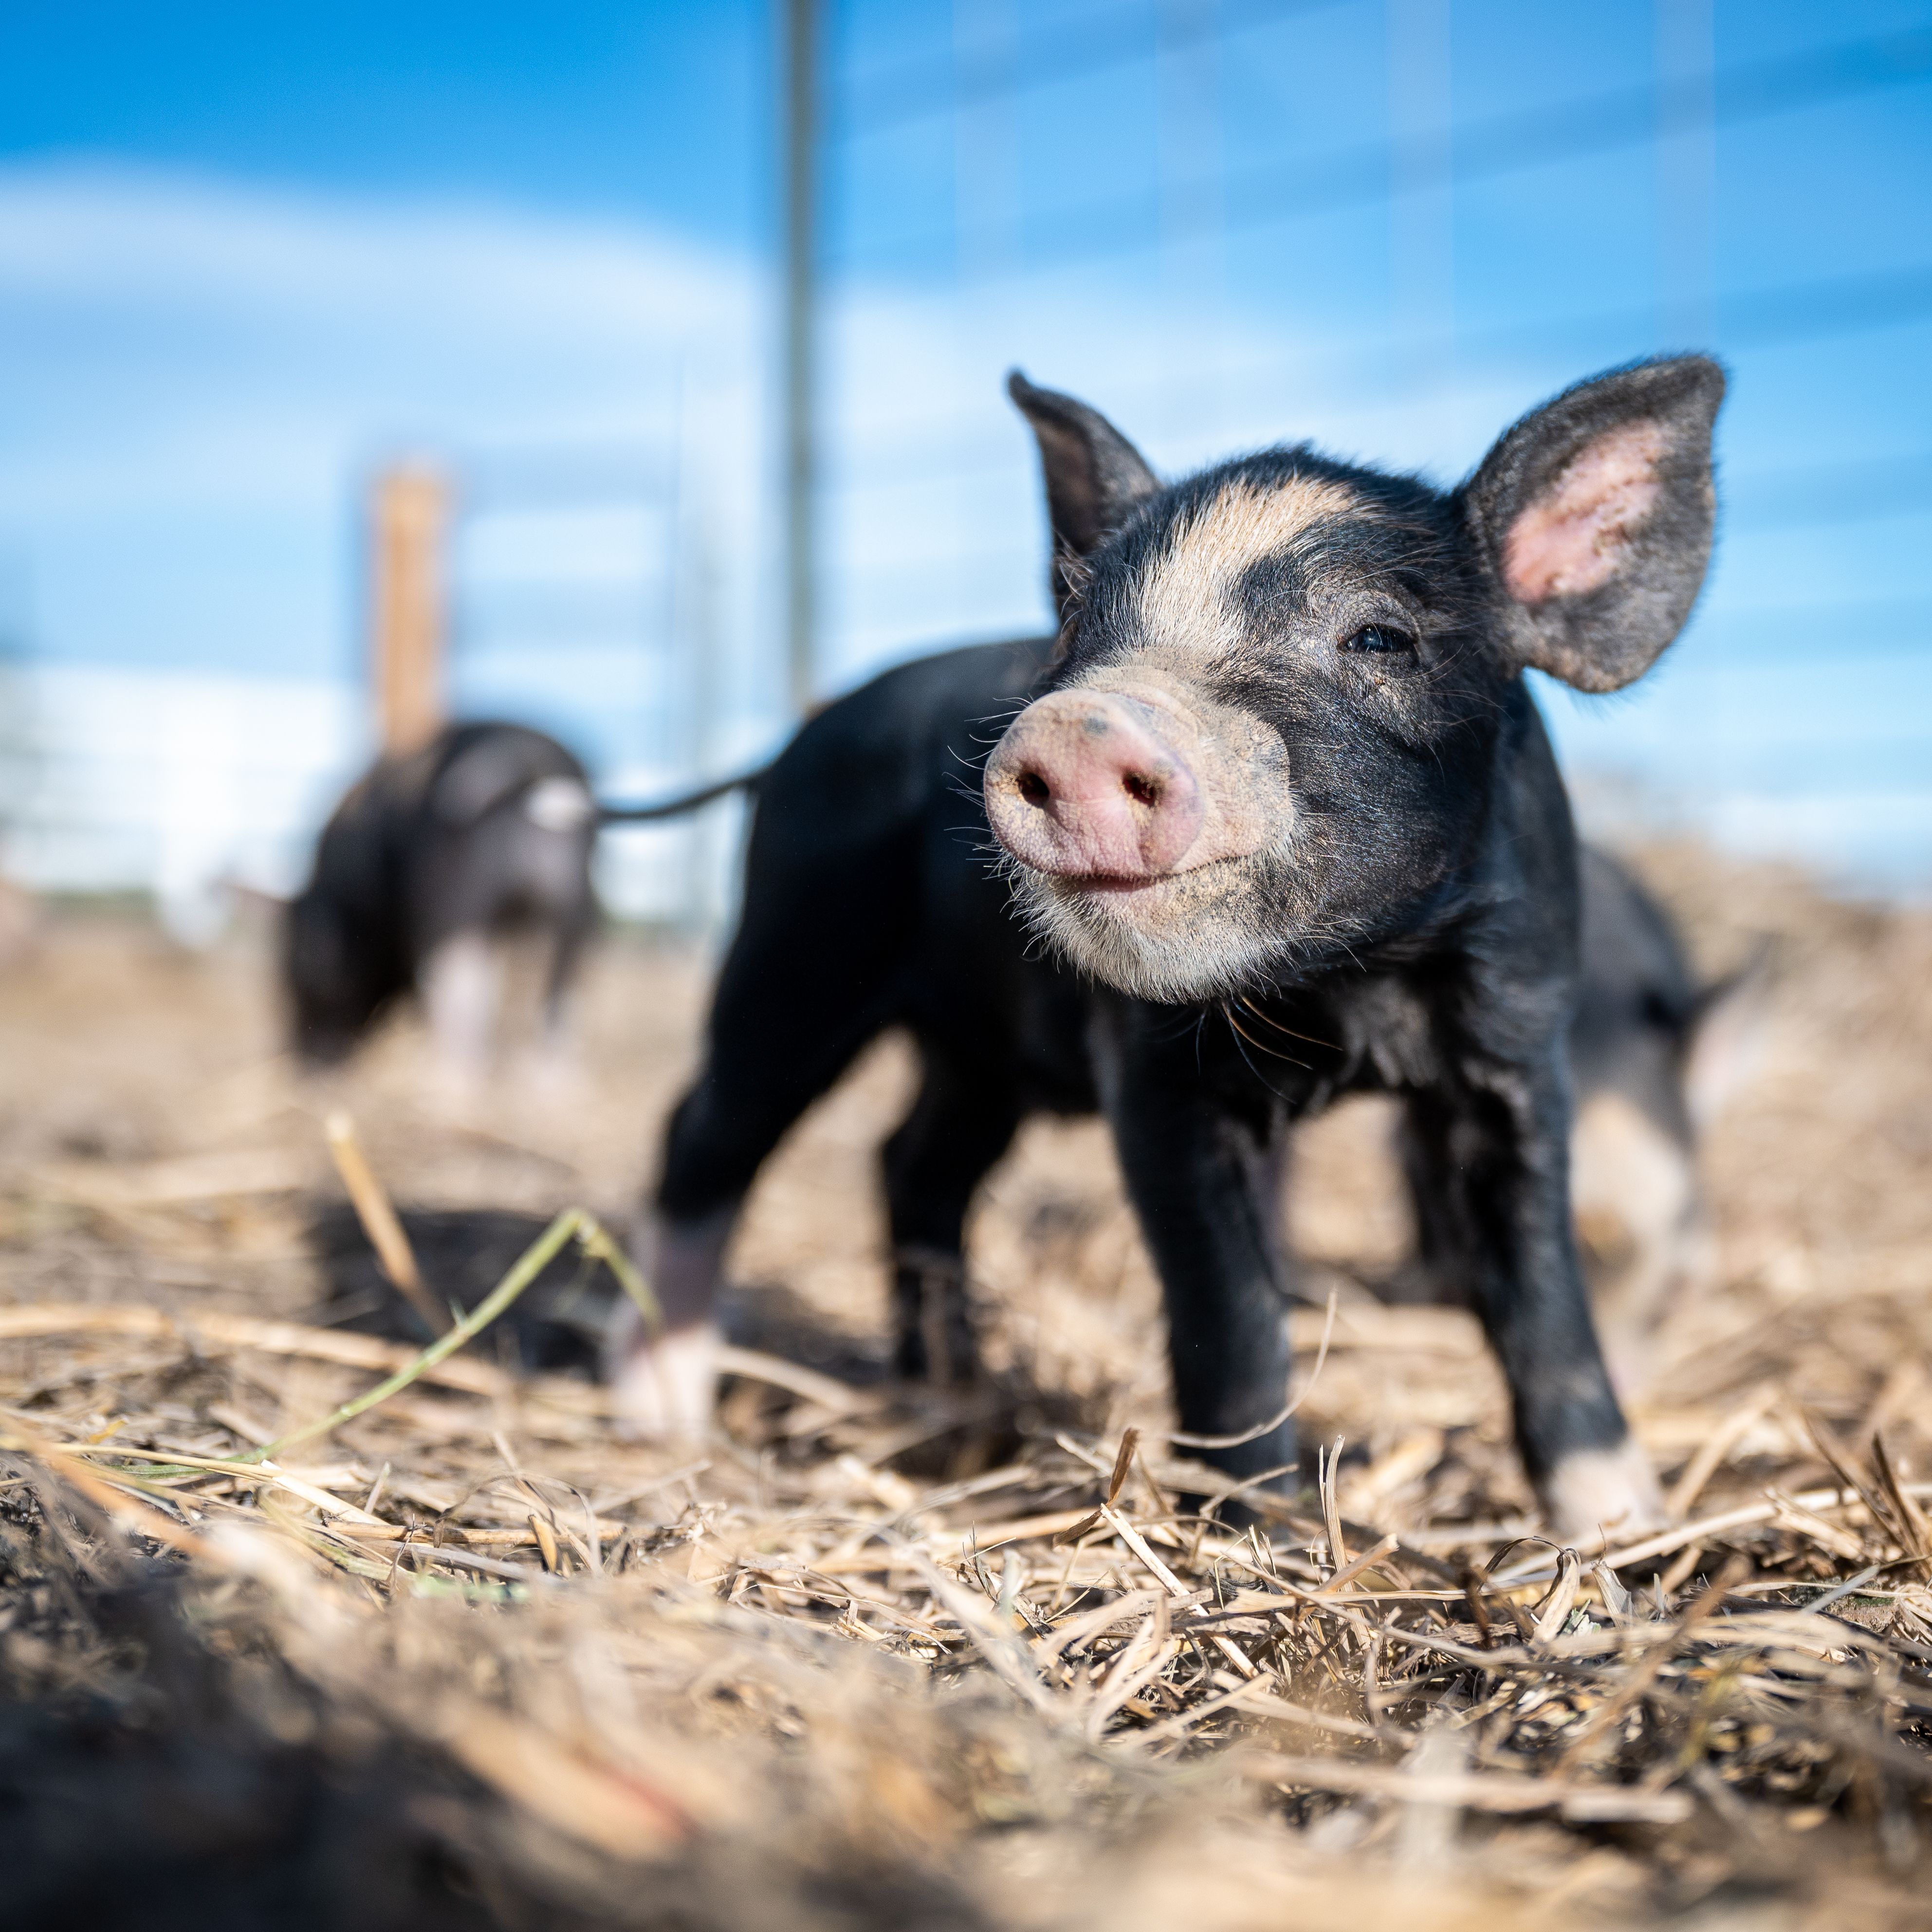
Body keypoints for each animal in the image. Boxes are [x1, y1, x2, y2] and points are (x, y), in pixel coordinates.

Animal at [285, 721, 598, 1078]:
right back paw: (551, 1081)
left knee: (460, 993)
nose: (304, 1064)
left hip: (457, 909)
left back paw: (450, 1078)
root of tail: (525, 760)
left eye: (299, 969)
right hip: (569, 909)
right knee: (557, 994)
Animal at [611, 357, 1725, 1542]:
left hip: (969, 1047)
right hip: (793, 948)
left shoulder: (1517, 1049)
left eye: (1380, 638)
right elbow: (1226, 1315)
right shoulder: (1151, 1078)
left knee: (912, 1162)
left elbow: (1544, 1293)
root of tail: (797, 736)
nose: (1079, 725)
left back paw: (946, 1395)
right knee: (704, 1133)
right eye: (1078, 623)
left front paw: (1623, 1526)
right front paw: (1261, 1532)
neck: (1352, 995)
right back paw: (661, 1411)